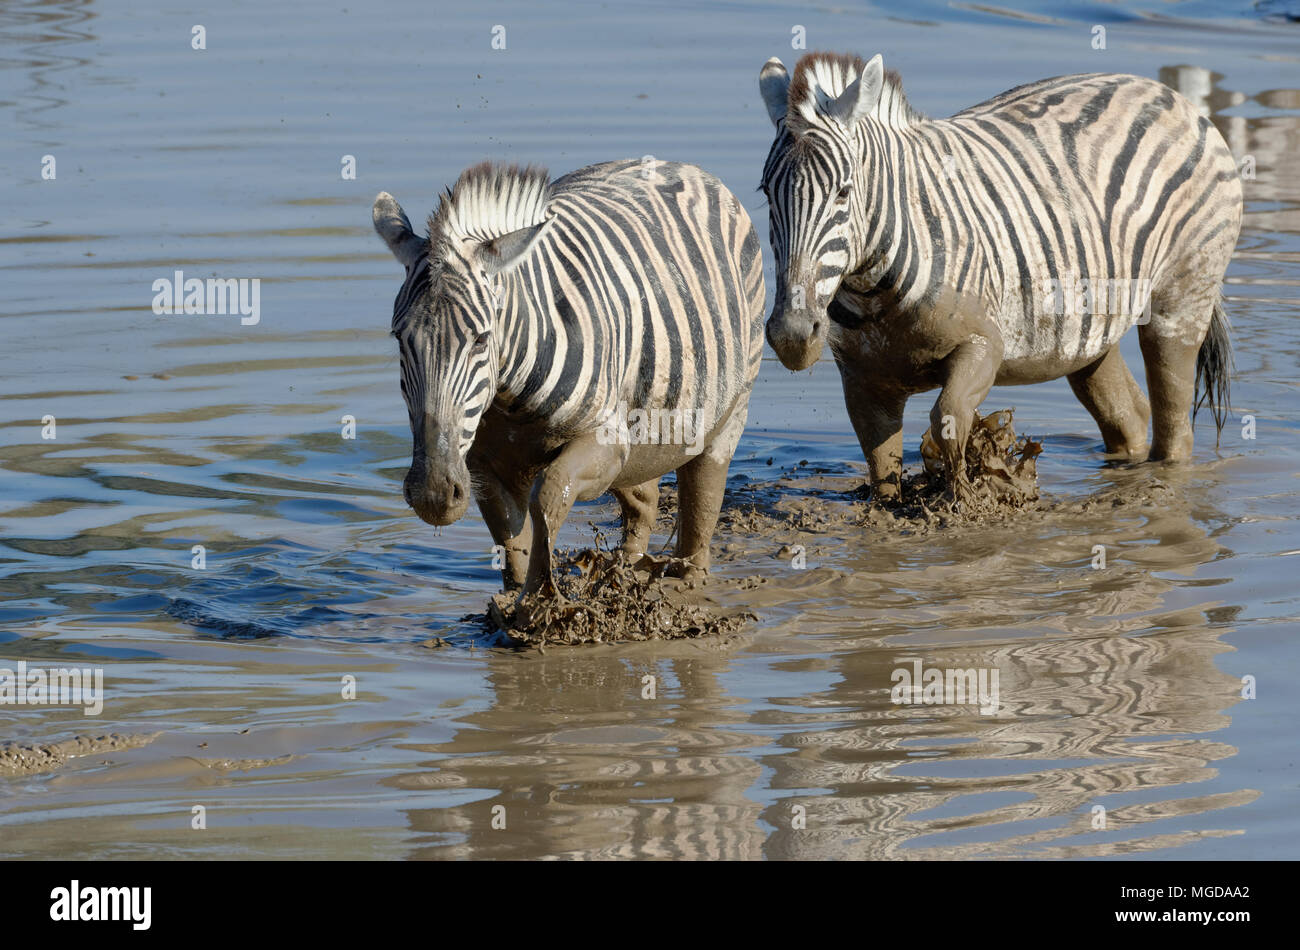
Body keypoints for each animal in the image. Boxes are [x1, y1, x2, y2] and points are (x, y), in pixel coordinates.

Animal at [372, 160, 765, 597]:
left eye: (481, 339)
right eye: (399, 338)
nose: (434, 494)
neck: (511, 397)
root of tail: (680, 166)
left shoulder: (604, 438)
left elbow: (547, 497)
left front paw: (541, 597)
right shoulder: (483, 463)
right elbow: (510, 537)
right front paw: (514, 600)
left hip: (730, 409)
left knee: (702, 498)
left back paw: (687, 579)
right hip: (640, 427)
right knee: (643, 499)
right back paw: (626, 569)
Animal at [757, 52, 1242, 498]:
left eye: (843, 193)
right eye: (765, 193)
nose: (792, 336)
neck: (874, 293)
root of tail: (1167, 94)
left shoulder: (984, 345)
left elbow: (948, 418)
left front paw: (964, 500)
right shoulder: (864, 382)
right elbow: (882, 472)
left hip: (1181, 300)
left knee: (1174, 423)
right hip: (1086, 332)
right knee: (1128, 414)